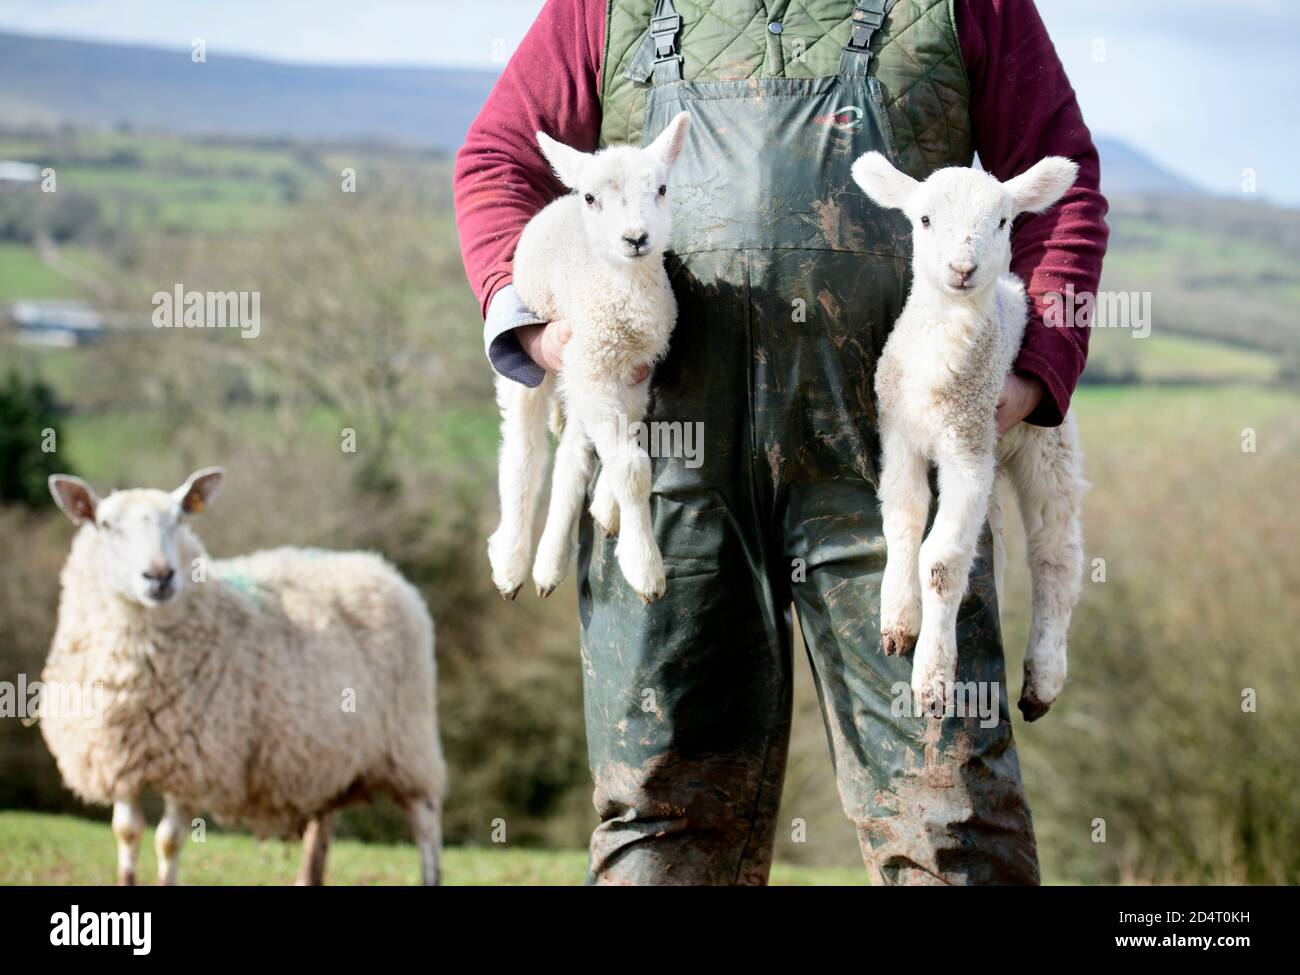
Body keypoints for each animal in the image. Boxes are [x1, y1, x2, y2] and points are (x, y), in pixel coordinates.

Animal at [41, 468, 446, 886]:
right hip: (329, 753)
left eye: (180, 519)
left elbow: (168, 841)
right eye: (105, 524)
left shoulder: (196, 763)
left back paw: (429, 874)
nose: (160, 576)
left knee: (426, 821)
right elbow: (126, 833)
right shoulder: (116, 760)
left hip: (409, 744)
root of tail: (378, 565)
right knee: (323, 821)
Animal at [487, 112, 691, 604]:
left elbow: (625, 451)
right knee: (523, 451)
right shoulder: (594, 365)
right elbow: (632, 468)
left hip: (582, 373)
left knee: (572, 458)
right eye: (593, 199)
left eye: (661, 188)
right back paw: (511, 563)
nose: (636, 238)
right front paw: (645, 567)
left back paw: (550, 562)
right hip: (542, 357)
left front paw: (611, 509)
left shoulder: (632, 371)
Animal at [850, 151, 1087, 721]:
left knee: (1057, 551)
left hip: (1045, 437)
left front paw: (932, 677)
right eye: (924, 219)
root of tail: (1014, 291)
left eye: (1002, 221)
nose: (962, 270)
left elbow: (941, 562)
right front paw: (898, 618)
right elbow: (903, 519)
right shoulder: (900, 436)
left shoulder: (969, 449)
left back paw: (1042, 678)